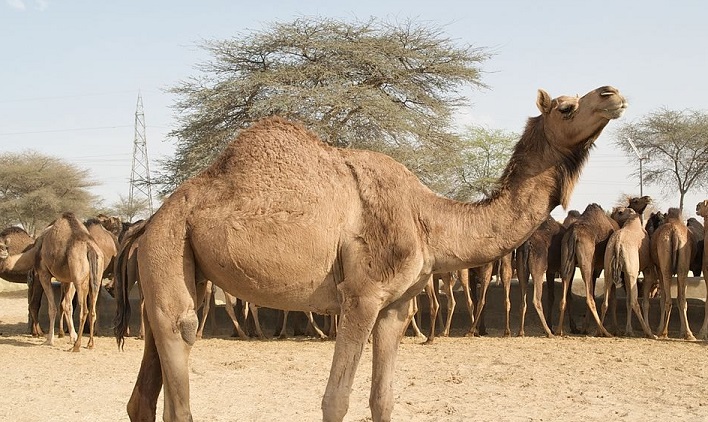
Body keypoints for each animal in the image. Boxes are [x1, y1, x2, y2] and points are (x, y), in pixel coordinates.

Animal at [558, 203, 619, 337]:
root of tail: (574, 234)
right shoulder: (602, 266)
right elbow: (613, 298)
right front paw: (616, 329)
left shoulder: (595, 268)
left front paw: (585, 328)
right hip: (586, 260)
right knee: (589, 298)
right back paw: (604, 332)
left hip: (566, 258)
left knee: (565, 295)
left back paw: (559, 331)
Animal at [600, 207, 657, 338]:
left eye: (619, 212)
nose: (611, 215)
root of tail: (617, 243)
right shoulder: (647, 270)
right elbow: (644, 303)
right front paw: (645, 330)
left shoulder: (625, 273)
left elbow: (627, 302)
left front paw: (628, 330)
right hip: (632, 273)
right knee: (635, 302)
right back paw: (649, 333)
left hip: (609, 269)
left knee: (605, 302)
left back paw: (600, 331)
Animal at [651, 208, 695, 340]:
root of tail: (674, 233)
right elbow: (680, 298)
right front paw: (683, 332)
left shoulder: (659, 268)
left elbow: (662, 299)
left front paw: (659, 328)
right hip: (683, 265)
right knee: (682, 300)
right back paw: (689, 334)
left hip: (665, 267)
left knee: (668, 299)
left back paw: (663, 332)